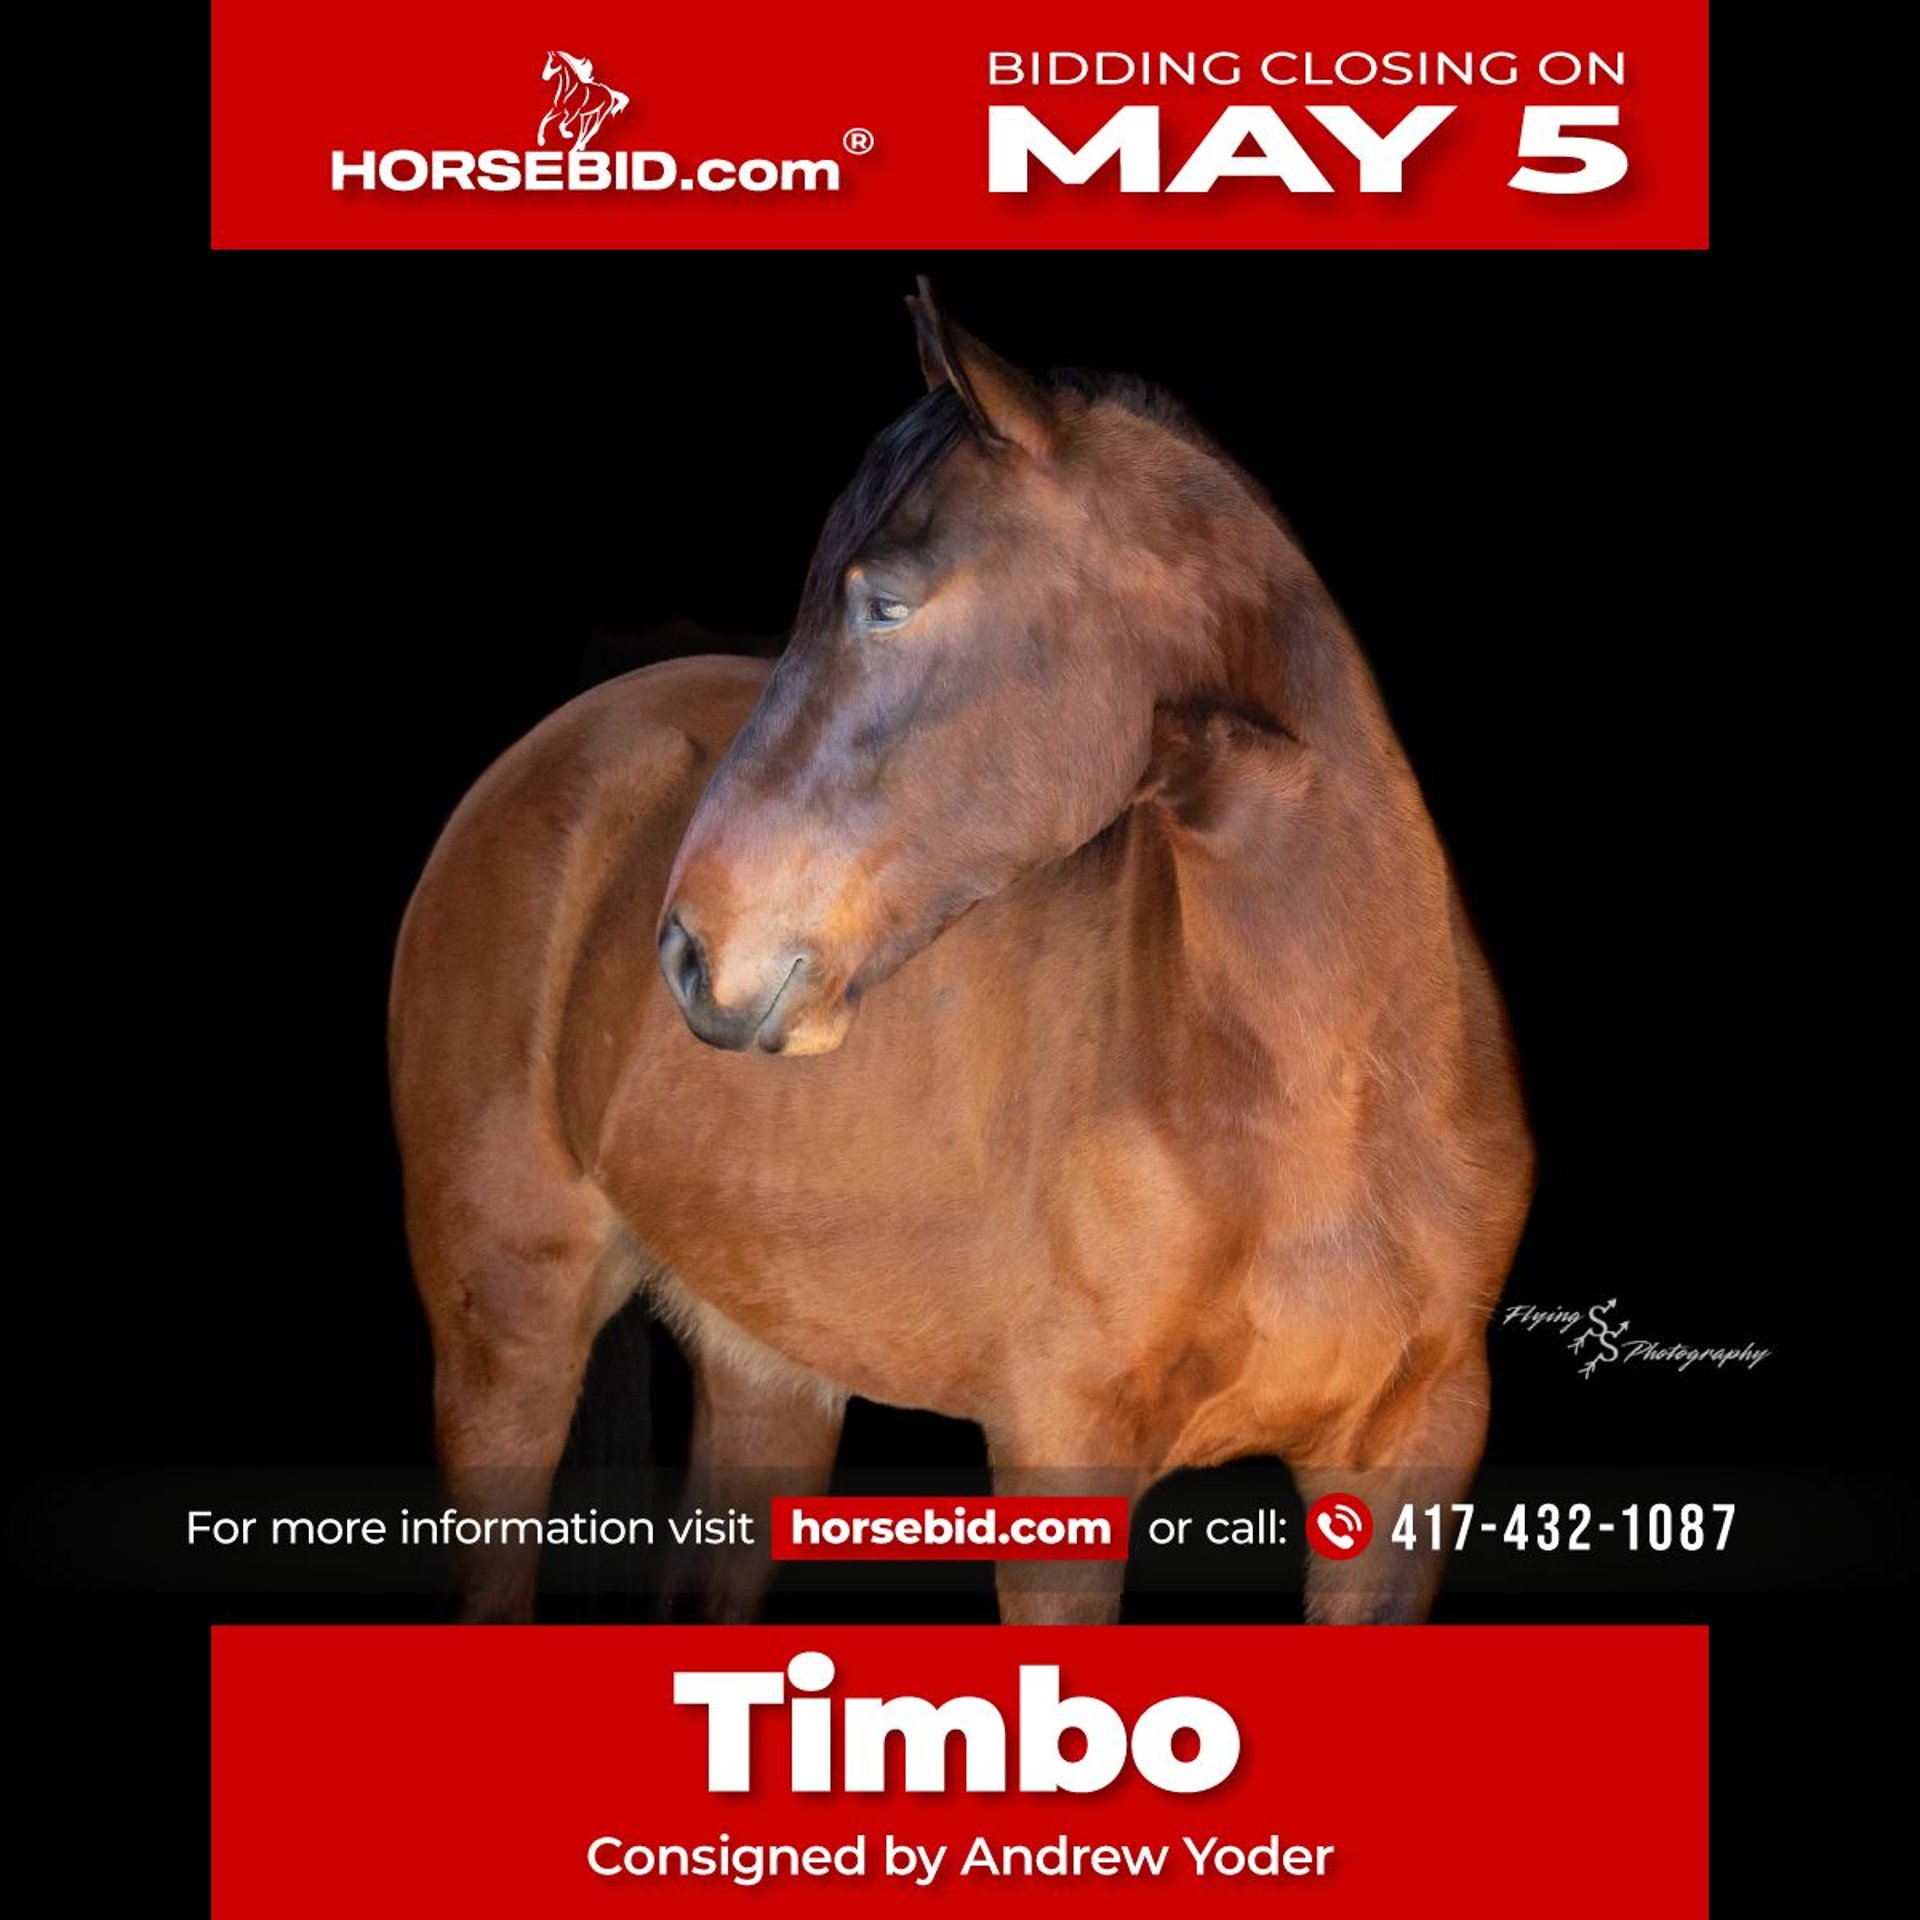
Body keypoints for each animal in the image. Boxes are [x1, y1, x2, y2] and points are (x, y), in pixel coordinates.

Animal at [389, 281, 1535, 1627]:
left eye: (884, 602)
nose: (687, 948)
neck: (1324, 1086)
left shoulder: (1411, 1467)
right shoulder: (1061, 1457)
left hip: (768, 1366)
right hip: (506, 1335)